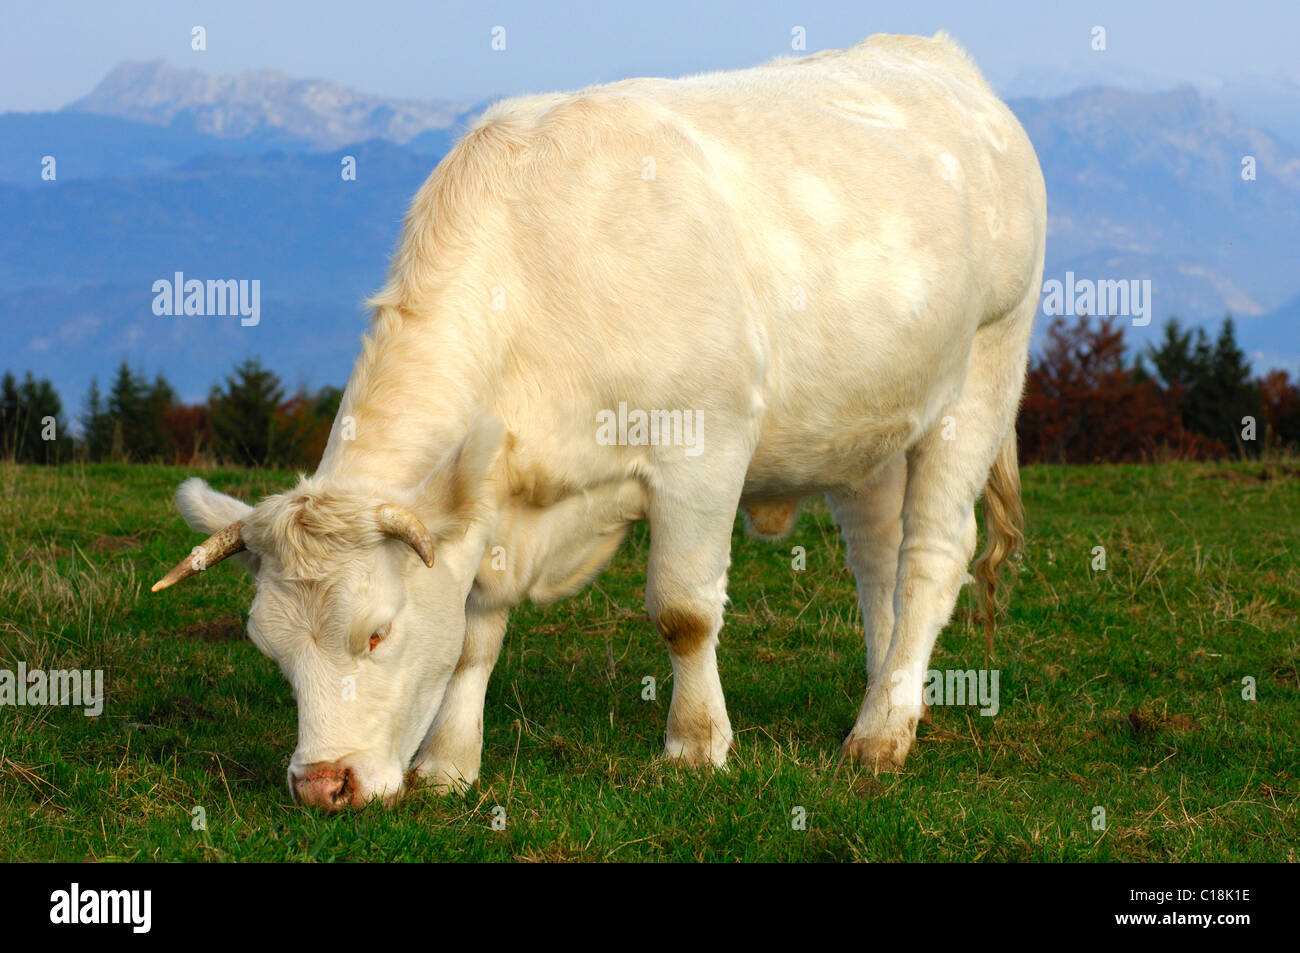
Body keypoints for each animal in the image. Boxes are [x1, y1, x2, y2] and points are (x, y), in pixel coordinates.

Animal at [154, 31, 1046, 811]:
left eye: (377, 632)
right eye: (270, 649)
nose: (320, 785)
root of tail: (932, 53)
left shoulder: (704, 448)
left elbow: (683, 611)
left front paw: (696, 746)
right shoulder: (494, 496)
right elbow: (474, 630)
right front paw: (449, 764)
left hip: (985, 368)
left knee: (932, 552)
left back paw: (883, 731)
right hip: (869, 424)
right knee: (877, 558)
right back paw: (888, 694)